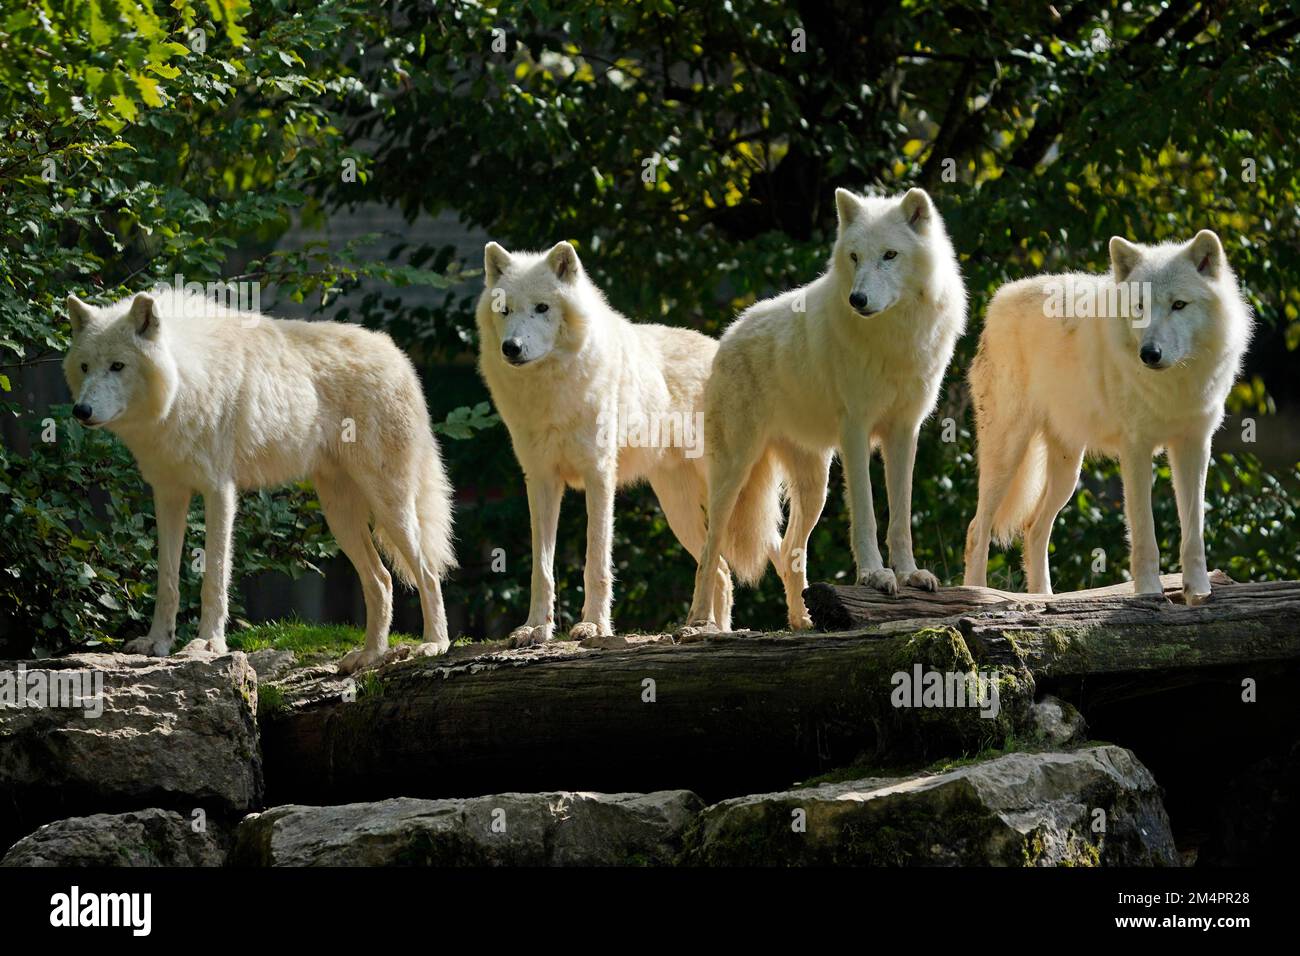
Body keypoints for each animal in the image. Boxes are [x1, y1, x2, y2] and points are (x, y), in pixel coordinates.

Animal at [62, 288, 455, 673]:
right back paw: (369, 656)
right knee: (382, 580)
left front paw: (207, 644)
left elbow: (214, 575)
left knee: (427, 572)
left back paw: (434, 644)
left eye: (118, 365)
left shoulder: (219, 490)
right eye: (85, 367)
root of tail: (398, 356)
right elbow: (167, 579)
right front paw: (156, 642)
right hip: (339, 515)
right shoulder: (168, 493)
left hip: (390, 506)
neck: (185, 379)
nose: (81, 411)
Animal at [475, 241, 779, 642]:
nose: (511, 347)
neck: (552, 393)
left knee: (781, 550)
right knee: (720, 571)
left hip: (730, 499)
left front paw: (593, 625)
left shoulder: (599, 476)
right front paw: (534, 628)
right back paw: (709, 628)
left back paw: (802, 621)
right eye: (504, 310)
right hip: (679, 510)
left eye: (542, 308)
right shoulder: (541, 480)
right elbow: (541, 568)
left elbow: (595, 561)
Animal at [680, 188, 967, 634]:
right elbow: (866, 512)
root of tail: (729, 332)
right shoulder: (855, 431)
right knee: (711, 553)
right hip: (733, 474)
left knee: (788, 551)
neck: (895, 336)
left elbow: (900, 515)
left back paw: (803, 620)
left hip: (815, 487)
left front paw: (909, 574)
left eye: (889, 255)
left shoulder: (905, 431)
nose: (857, 299)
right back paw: (698, 621)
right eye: (854, 257)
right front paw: (875, 575)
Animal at [963, 230, 1253, 604]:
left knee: (1033, 529)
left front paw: (1199, 593)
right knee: (977, 529)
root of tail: (1000, 298)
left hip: (1067, 473)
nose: (1149, 354)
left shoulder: (1194, 446)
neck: (1175, 381)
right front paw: (1149, 593)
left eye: (1179, 305)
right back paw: (978, 593)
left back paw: (1044, 599)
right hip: (1007, 456)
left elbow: (1194, 531)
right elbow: (1144, 533)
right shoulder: (1136, 450)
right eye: (1140, 306)